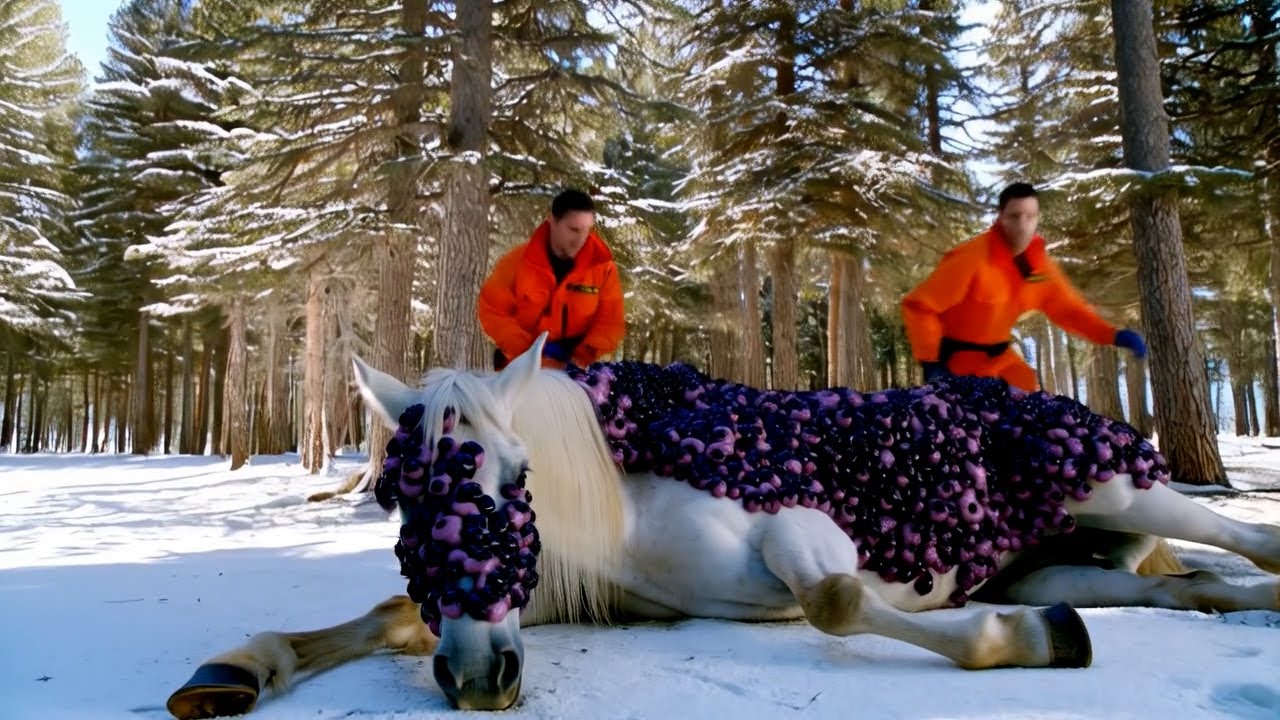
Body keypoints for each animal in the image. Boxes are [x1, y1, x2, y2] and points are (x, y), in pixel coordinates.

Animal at [164, 333, 1280, 719]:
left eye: (514, 476)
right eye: (399, 498)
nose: (480, 681)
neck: (625, 504)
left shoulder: (798, 529)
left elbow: (835, 599)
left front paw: (1024, 646)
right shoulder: (561, 599)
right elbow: (390, 615)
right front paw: (238, 668)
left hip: (1119, 490)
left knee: (1246, 543)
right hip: (1061, 561)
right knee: (1192, 587)